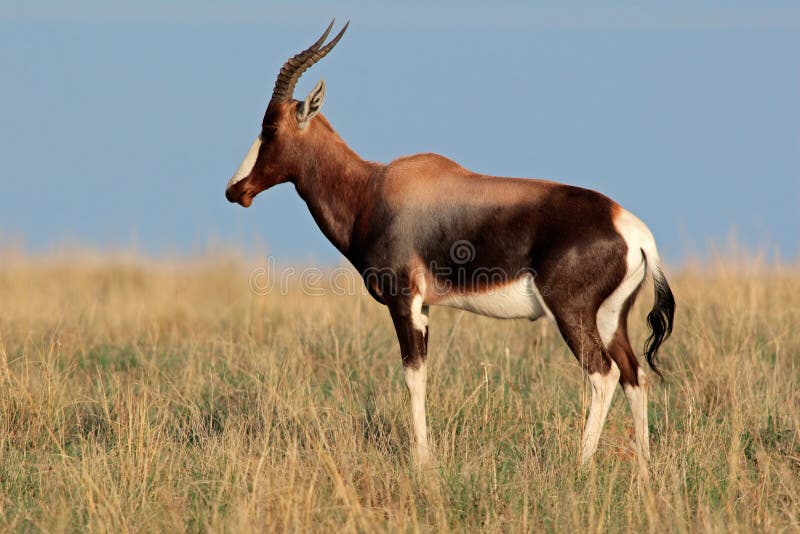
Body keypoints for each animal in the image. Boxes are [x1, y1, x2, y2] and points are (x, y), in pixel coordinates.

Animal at [225, 21, 675, 467]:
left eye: (269, 128)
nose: (235, 190)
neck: (373, 189)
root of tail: (633, 231)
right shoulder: (424, 306)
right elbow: (421, 374)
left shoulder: (404, 300)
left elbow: (413, 376)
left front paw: (422, 461)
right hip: (611, 317)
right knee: (634, 375)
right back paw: (644, 469)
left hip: (572, 313)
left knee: (603, 373)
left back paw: (581, 466)